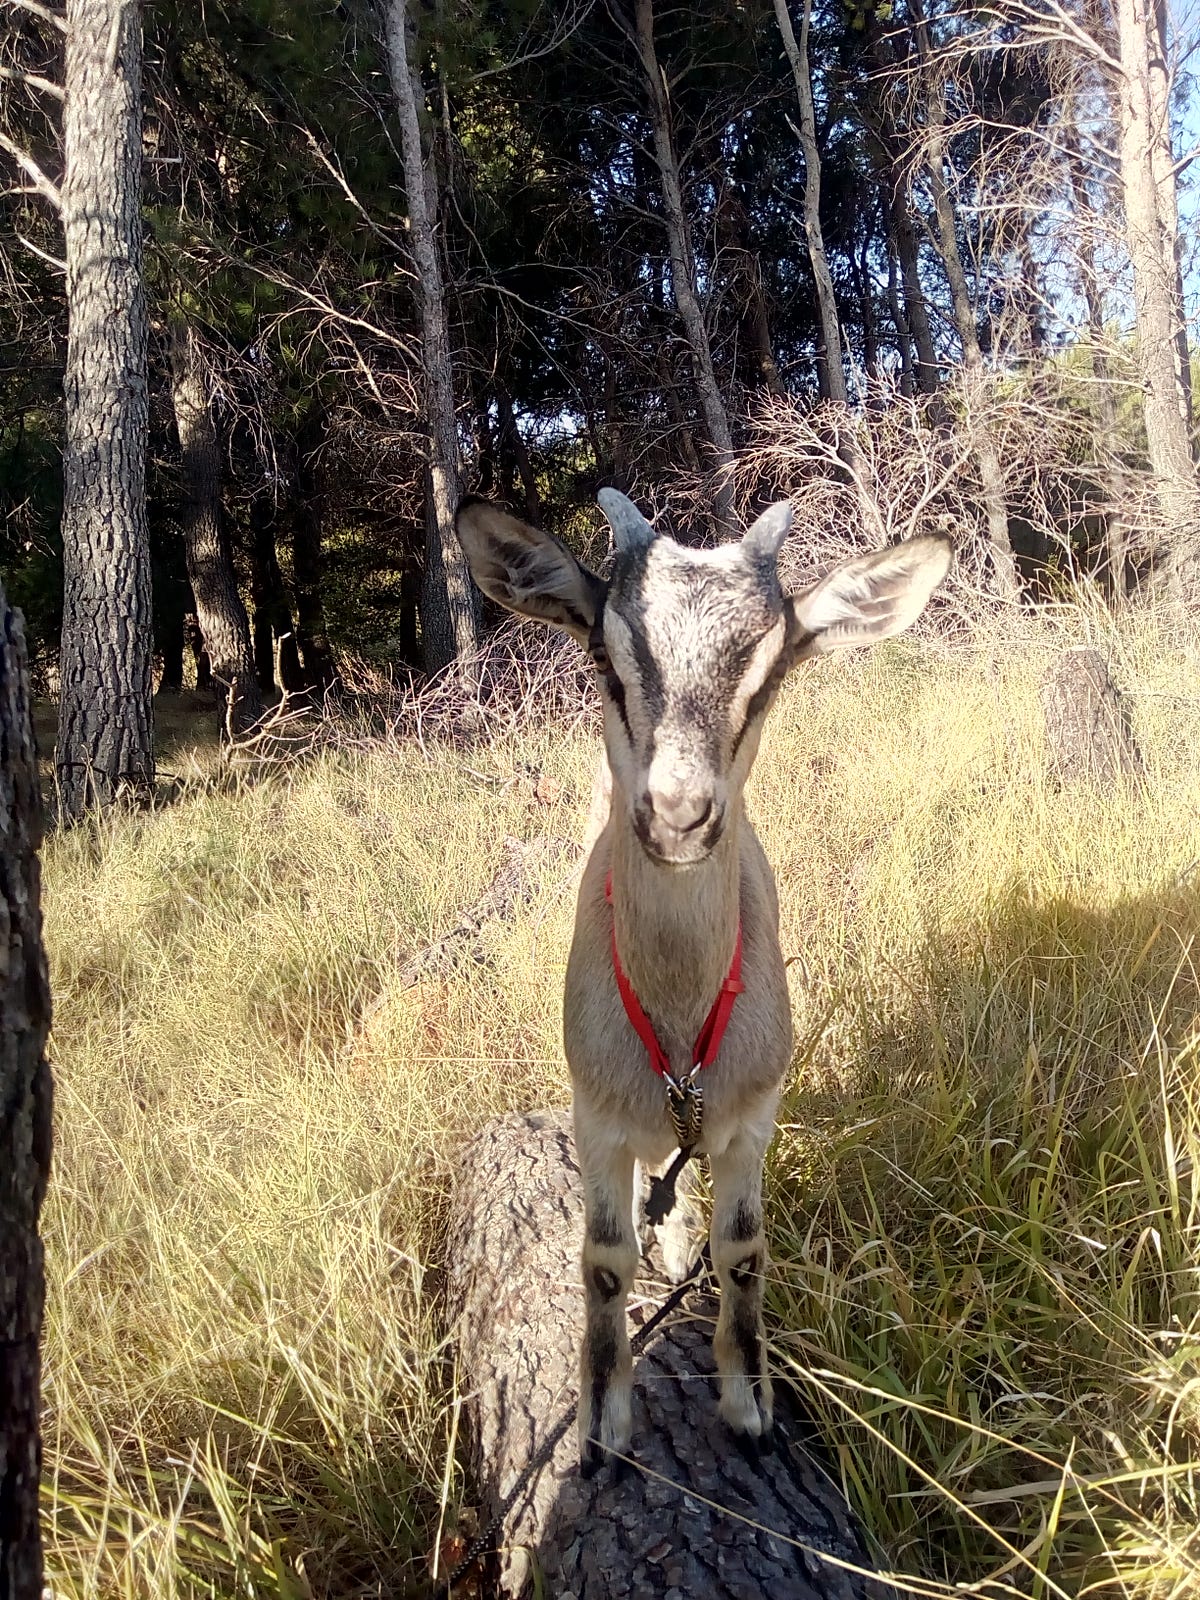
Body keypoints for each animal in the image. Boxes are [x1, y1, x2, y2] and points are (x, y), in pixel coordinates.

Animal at [454, 490, 951, 1473]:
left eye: (770, 671)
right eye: (606, 657)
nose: (679, 816)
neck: (680, 1024)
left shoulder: (754, 1113)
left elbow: (746, 1249)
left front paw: (748, 1406)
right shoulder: (595, 1112)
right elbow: (603, 1260)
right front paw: (601, 1430)